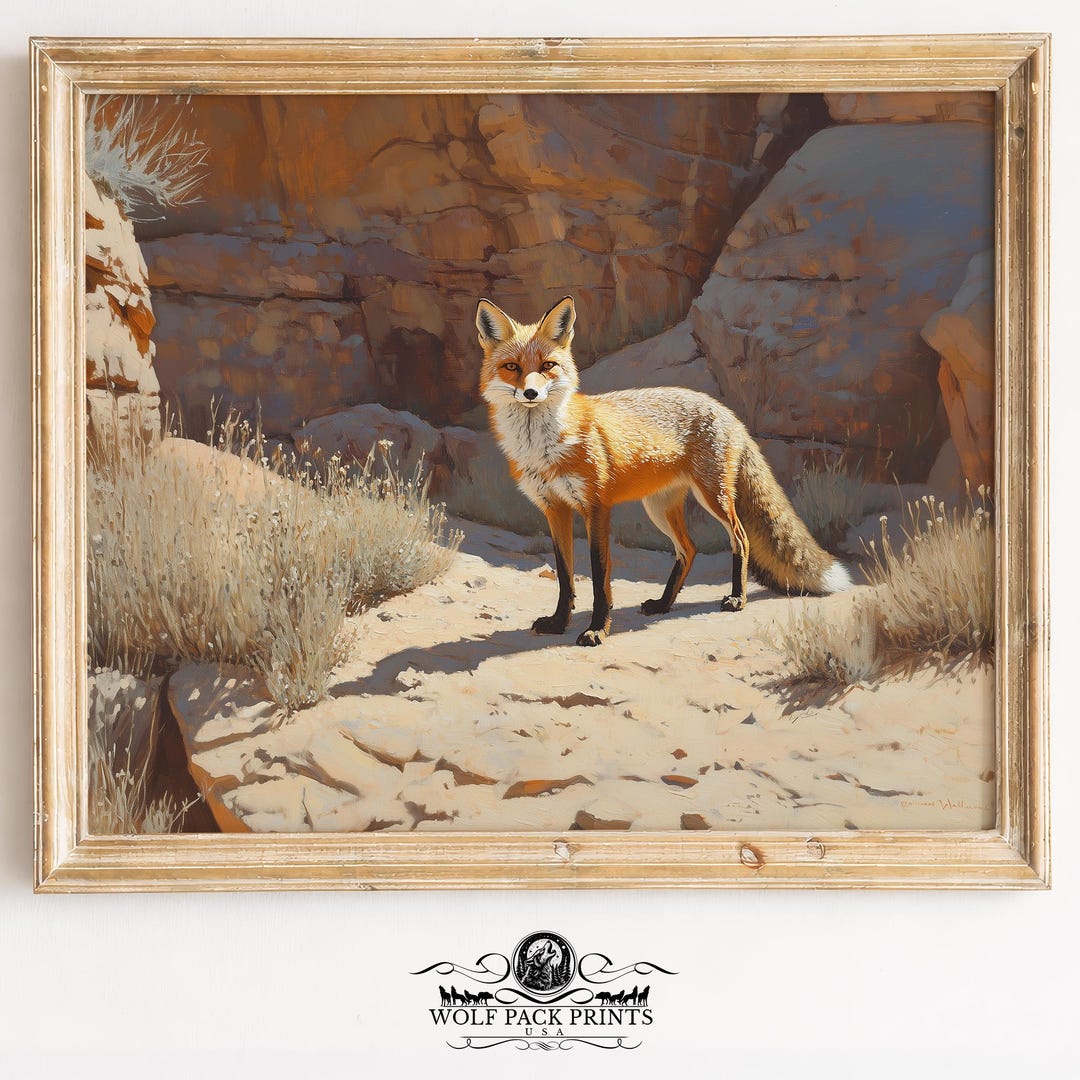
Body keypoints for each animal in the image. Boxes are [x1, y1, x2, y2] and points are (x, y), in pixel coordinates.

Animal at [476, 295, 853, 647]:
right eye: (512, 366)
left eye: (548, 365)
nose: (530, 392)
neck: (544, 448)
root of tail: (724, 409)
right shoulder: (554, 509)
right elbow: (565, 576)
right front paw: (558, 623)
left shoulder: (596, 508)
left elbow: (599, 578)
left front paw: (597, 629)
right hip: (658, 507)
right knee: (689, 549)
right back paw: (663, 603)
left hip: (713, 497)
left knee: (741, 537)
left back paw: (737, 597)